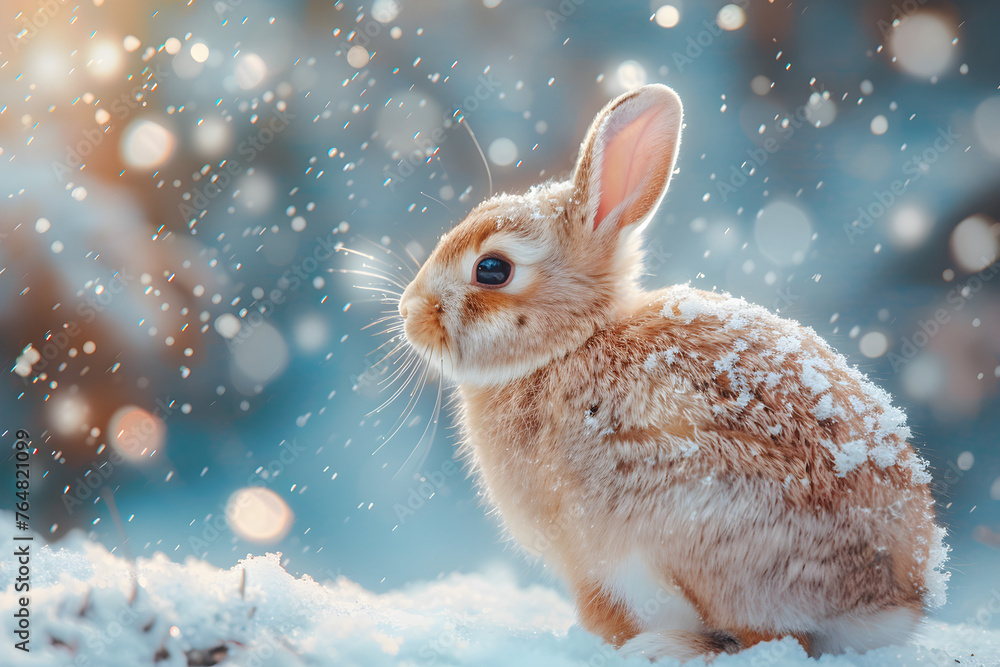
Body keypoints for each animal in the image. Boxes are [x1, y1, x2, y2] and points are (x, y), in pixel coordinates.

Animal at [395, 83, 949, 660]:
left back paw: (664, 648)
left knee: (772, 639)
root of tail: (886, 602)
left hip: (692, 530)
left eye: (492, 269)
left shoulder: (586, 559)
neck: (568, 344)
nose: (408, 312)